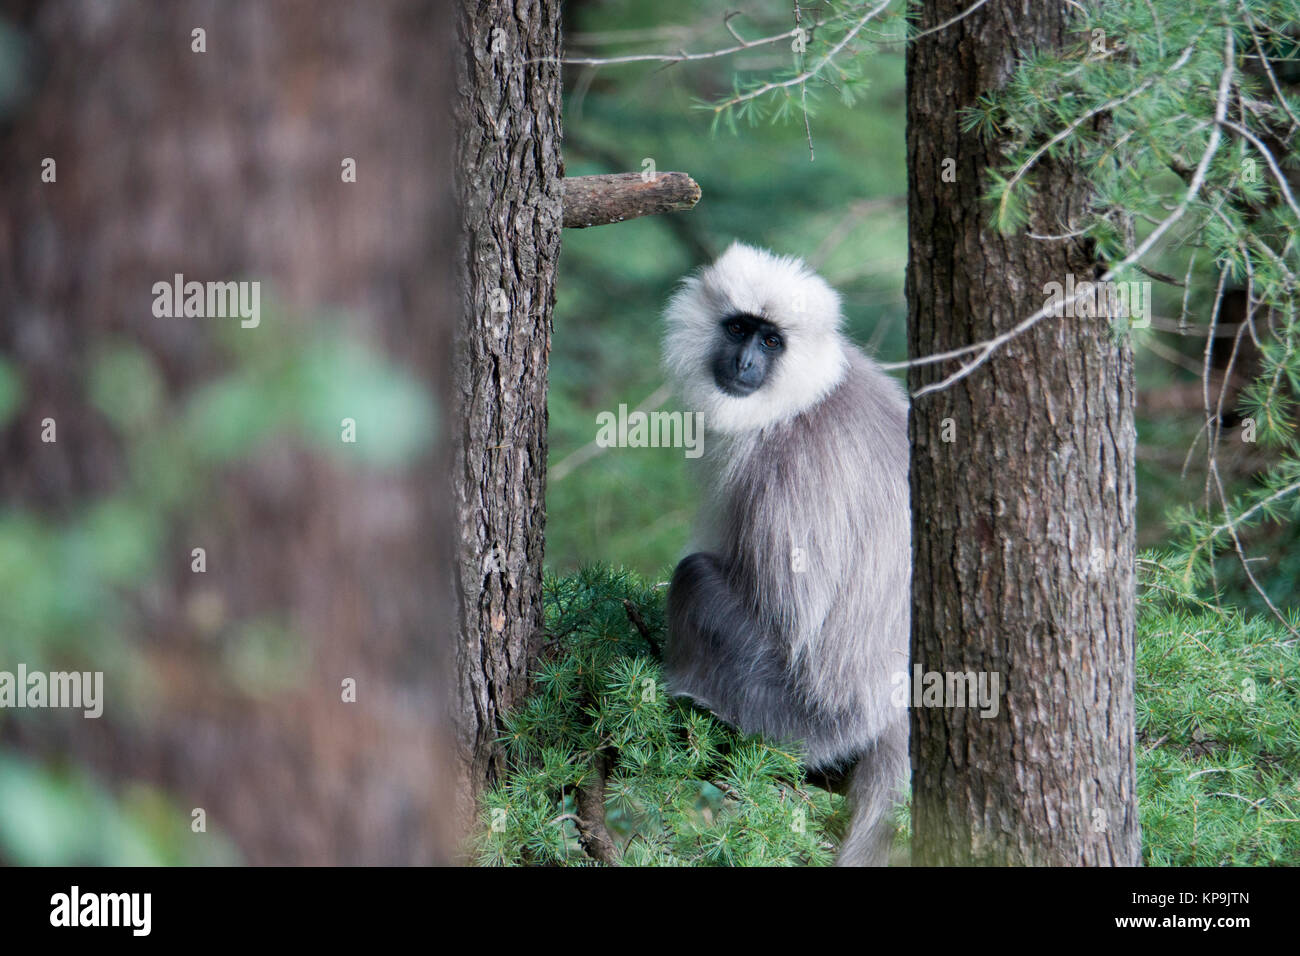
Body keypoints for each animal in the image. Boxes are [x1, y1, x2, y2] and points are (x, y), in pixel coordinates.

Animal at [661, 242, 910, 866]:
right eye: (739, 328)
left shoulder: (782, 469)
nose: (746, 361)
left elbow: (788, 620)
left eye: (772, 342)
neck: (804, 397)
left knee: (694, 577)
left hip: (808, 715)